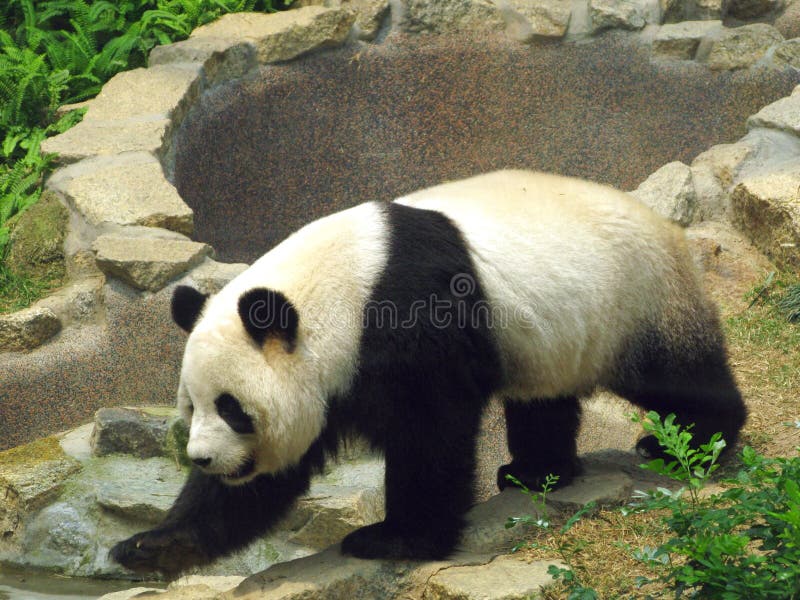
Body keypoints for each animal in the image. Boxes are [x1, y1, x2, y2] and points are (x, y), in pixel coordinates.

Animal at [110, 170, 746, 575]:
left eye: (232, 408)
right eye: (191, 408)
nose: (201, 459)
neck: (337, 290)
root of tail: (669, 228)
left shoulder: (410, 319)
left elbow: (430, 433)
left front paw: (394, 539)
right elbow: (264, 484)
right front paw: (148, 548)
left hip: (634, 295)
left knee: (673, 375)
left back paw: (690, 444)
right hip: (552, 331)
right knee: (543, 398)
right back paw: (536, 473)